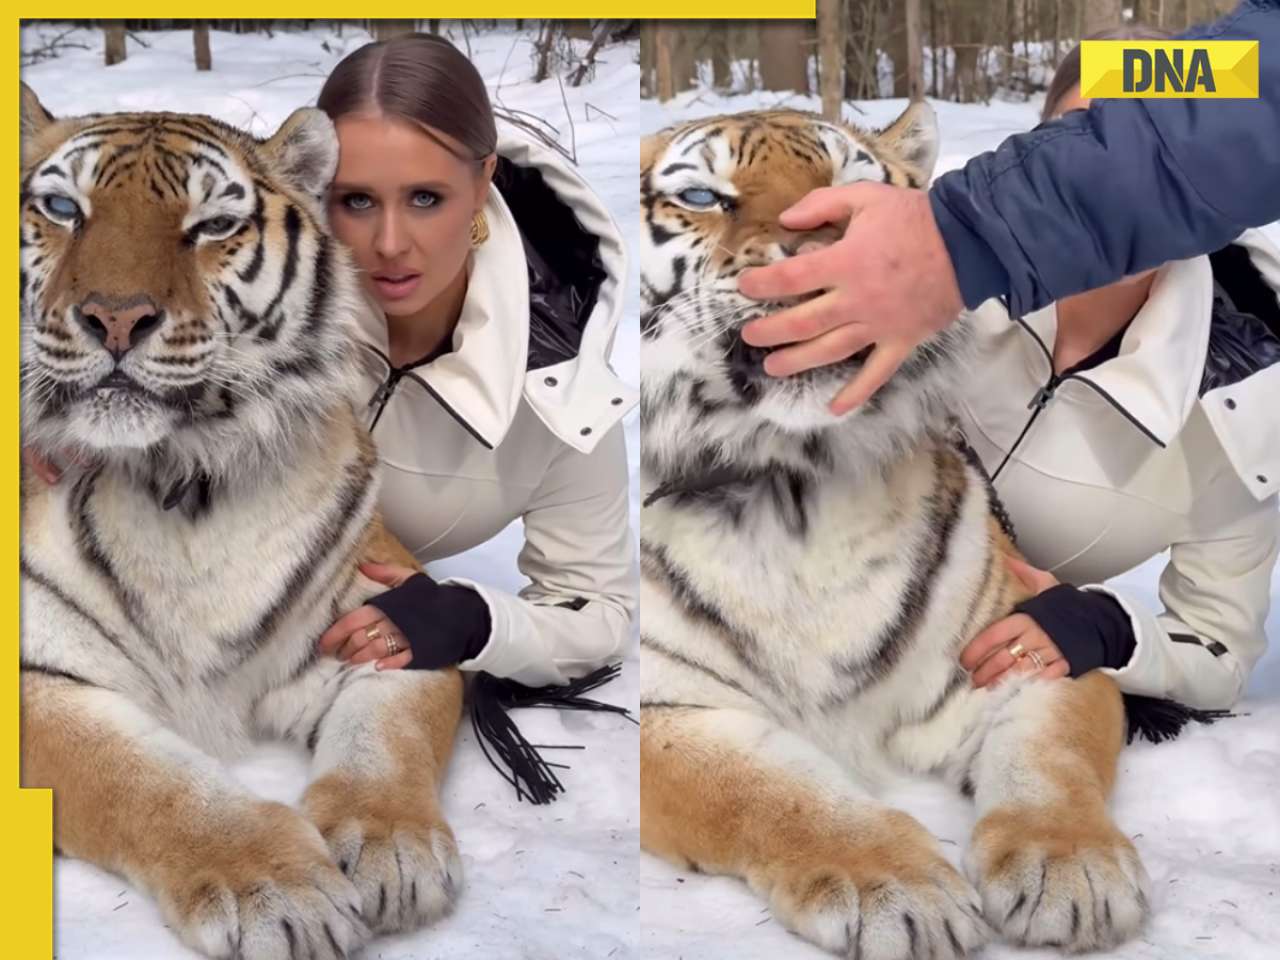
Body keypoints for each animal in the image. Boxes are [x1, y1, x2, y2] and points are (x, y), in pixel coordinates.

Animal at [18, 82, 463, 960]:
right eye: (61, 208)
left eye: (213, 225)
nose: (114, 319)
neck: (183, 484)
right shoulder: (32, 680)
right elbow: (146, 778)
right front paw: (276, 888)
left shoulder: (385, 603)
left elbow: (388, 733)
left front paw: (393, 847)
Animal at [638, 103, 1151, 958]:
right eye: (704, 196)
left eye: (850, 183)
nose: (819, 257)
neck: (798, 491)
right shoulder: (668, 708)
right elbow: (773, 791)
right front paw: (896, 888)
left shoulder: (1026, 645)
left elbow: (1050, 757)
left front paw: (1070, 868)